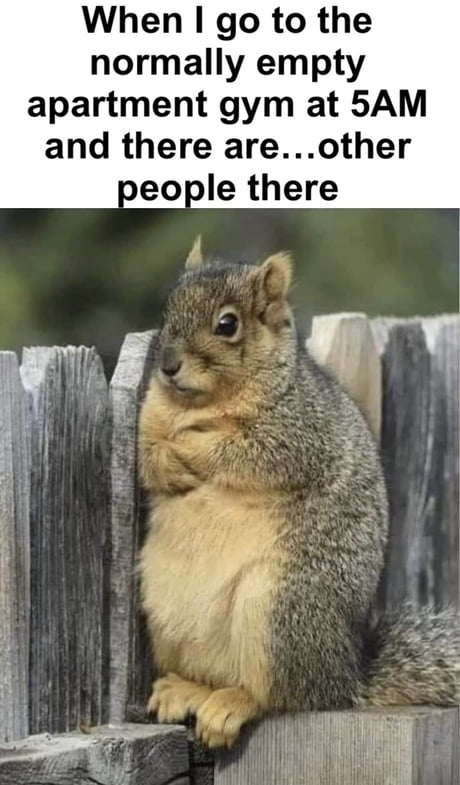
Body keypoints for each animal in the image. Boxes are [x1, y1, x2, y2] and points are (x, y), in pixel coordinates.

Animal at [138, 237, 459, 748]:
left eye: (227, 324)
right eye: (166, 308)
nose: (167, 366)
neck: (200, 404)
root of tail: (346, 677)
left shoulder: (297, 431)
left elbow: (244, 452)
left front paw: (190, 444)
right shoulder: (147, 419)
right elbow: (146, 457)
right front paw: (168, 460)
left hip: (278, 611)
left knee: (282, 696)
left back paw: (232, 704)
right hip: (164, 612)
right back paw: (185, 689)